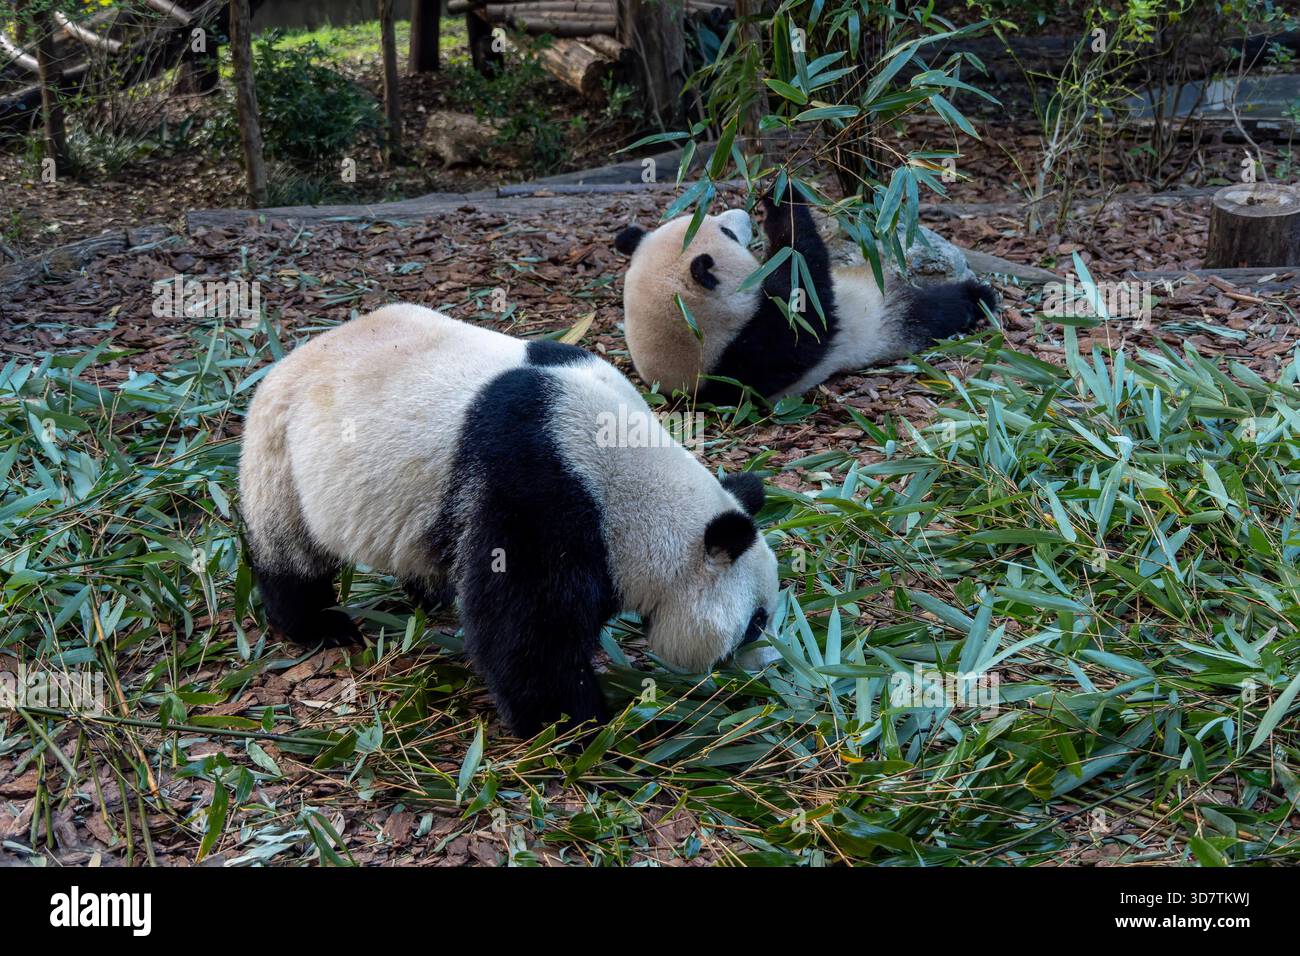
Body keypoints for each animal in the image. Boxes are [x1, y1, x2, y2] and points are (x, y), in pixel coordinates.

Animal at [238, 303, 780, 737]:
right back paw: (318, 624)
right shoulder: (537, 490)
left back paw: (430, 594)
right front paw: (577, 726)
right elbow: (525, 632)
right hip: (283, 455)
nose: (769, 666)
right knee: (289, 551)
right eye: (756, 622)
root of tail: (286, 362)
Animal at [614, 190, 997, 402]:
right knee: (933, 310)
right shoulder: (752, 358)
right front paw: (783, 199)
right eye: (727, 233)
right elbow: (807, 301)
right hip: (888, 318)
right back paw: (978, 298)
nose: (741, 215)